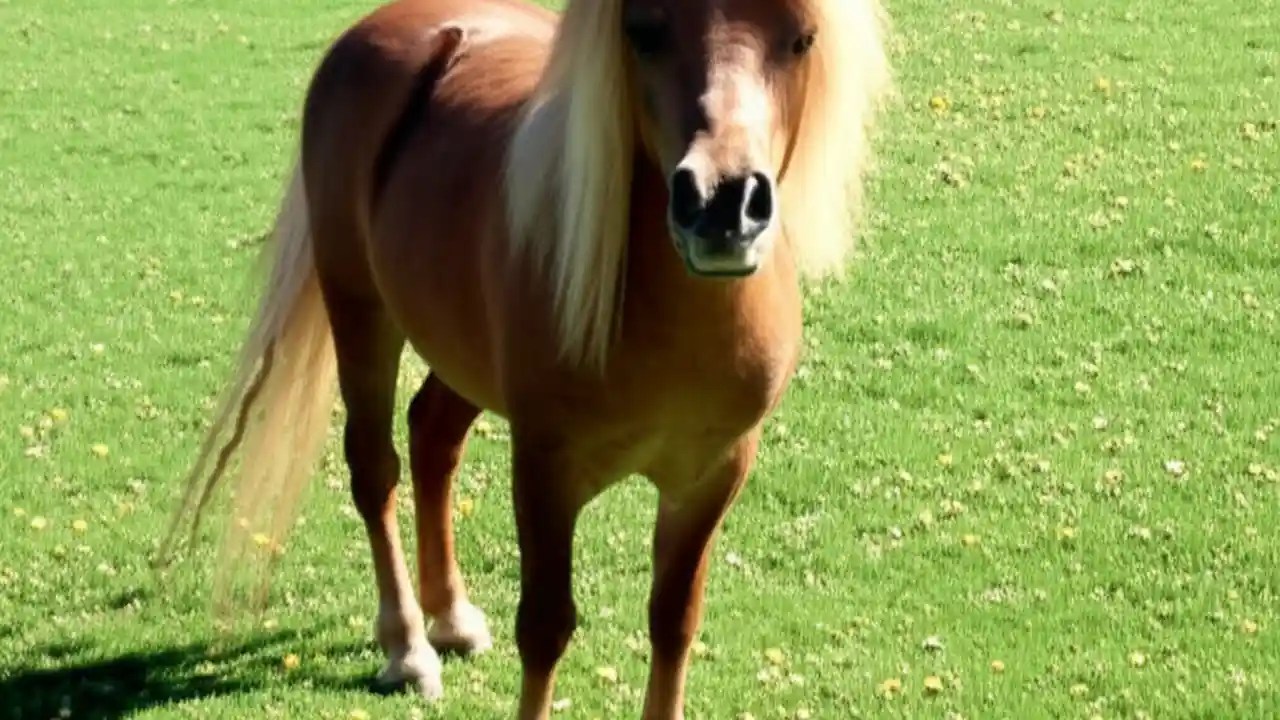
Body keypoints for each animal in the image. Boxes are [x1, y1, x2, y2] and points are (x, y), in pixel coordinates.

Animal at [158, 0, 891, 716]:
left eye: (802, 39)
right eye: (643, 32)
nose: (722, 204)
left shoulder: (711, 474)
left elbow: (674, 620)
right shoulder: (545, 467)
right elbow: (545, 628)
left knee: (432, 436)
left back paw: (451, 618)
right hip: (358, 308)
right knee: (374, 468)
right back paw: (408, 648)